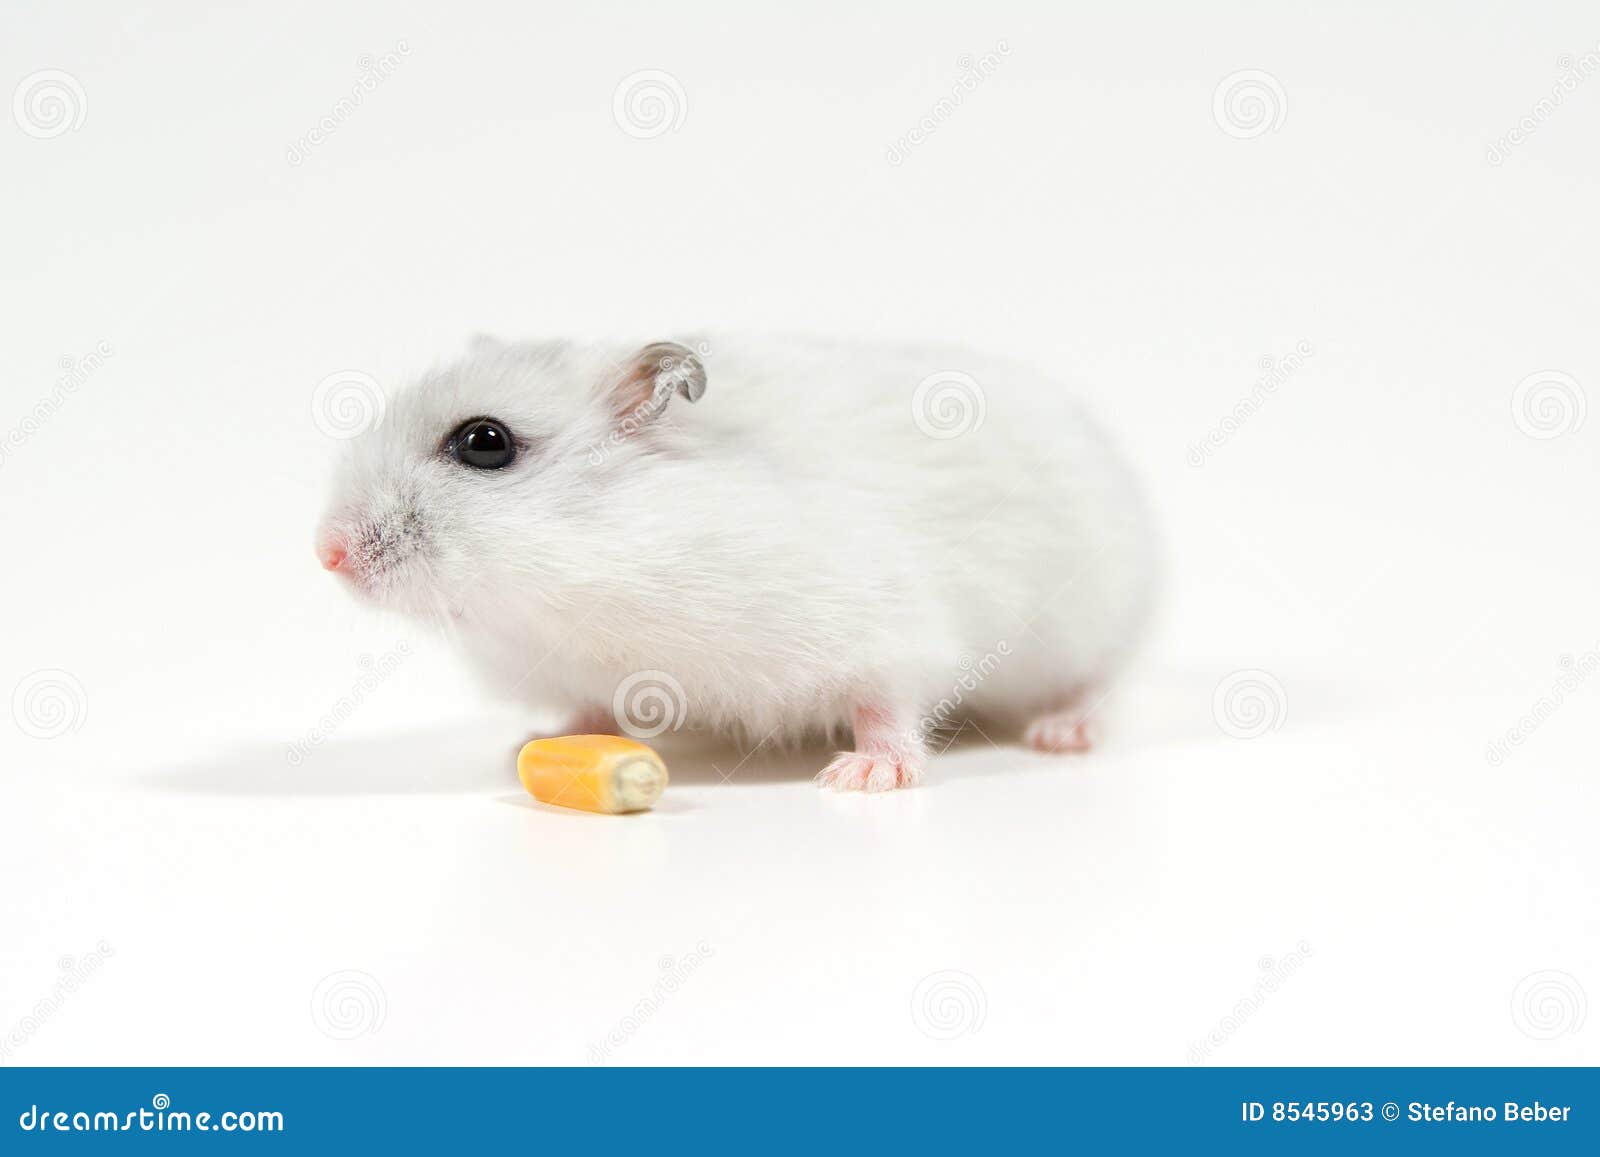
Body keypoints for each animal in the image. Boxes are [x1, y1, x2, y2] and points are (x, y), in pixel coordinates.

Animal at [315, 334, 1158, 791]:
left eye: (484, 442)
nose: (326, 552)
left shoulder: (888, 634)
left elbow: (886, 706)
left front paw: (862, 776)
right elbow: (586, 711)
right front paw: (535, 744)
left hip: (1096, 620)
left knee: (1104, 683)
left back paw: (1061, 732)